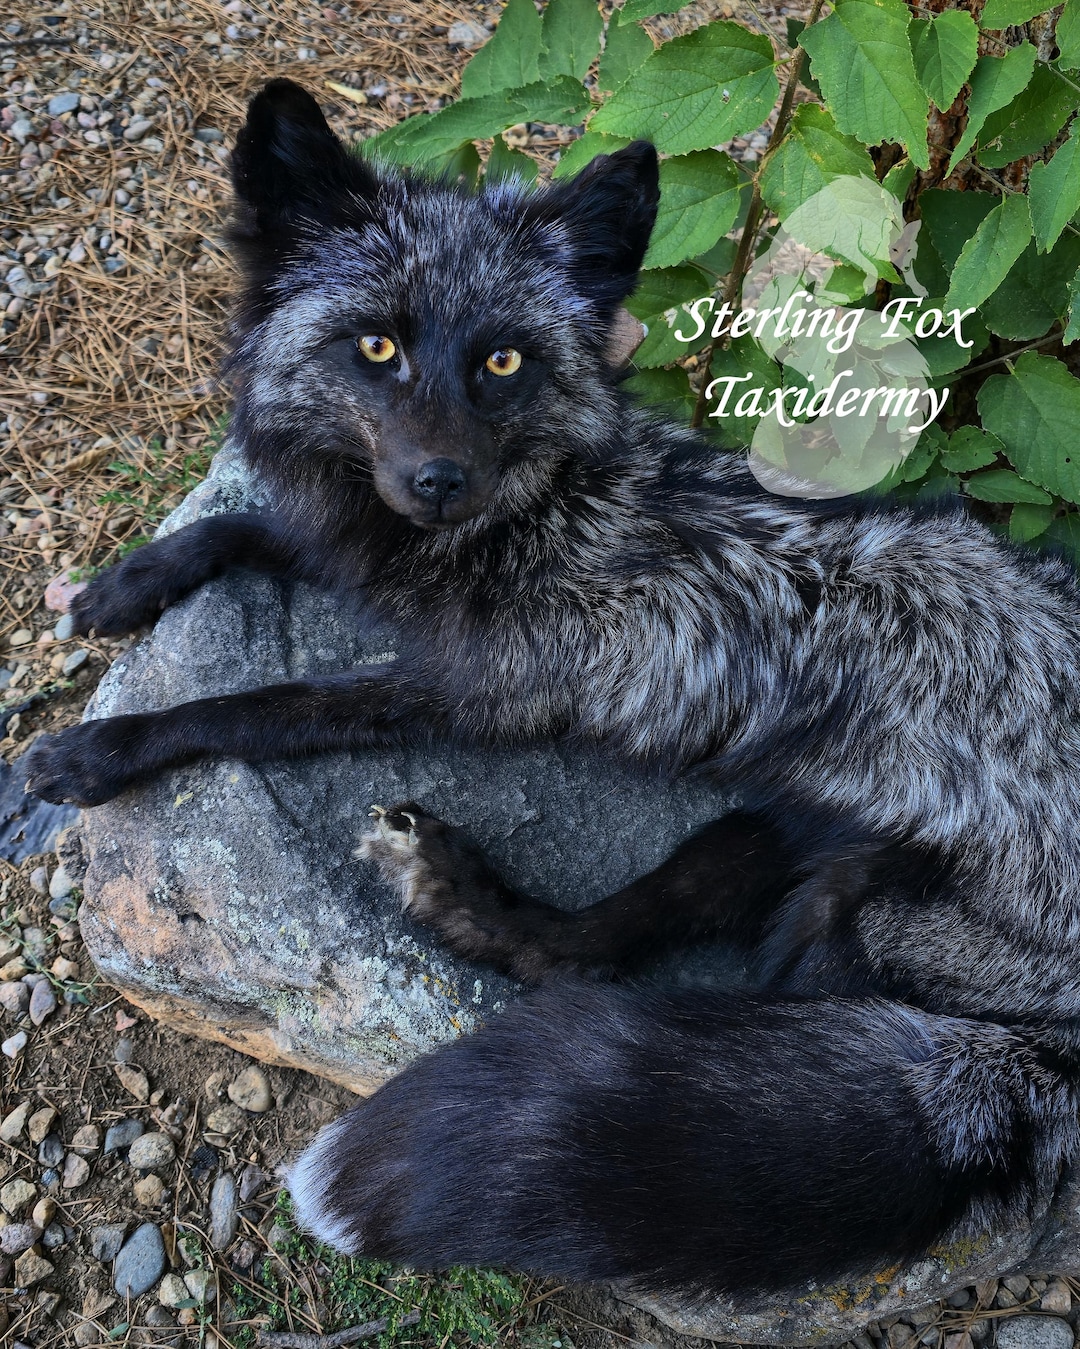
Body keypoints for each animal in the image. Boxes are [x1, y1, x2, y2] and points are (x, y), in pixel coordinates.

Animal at [23, 77, 1080, 1299]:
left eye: (503, 361)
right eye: (376, 345)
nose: (440, 478)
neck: (537, 506)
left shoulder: (476, 685)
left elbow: (254, 705)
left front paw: (98, 749)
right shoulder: (378, 555)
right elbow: (243, 526)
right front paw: (123, 585)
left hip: (850, 916)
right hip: (770, 830)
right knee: (585, 946)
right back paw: (453, 894)